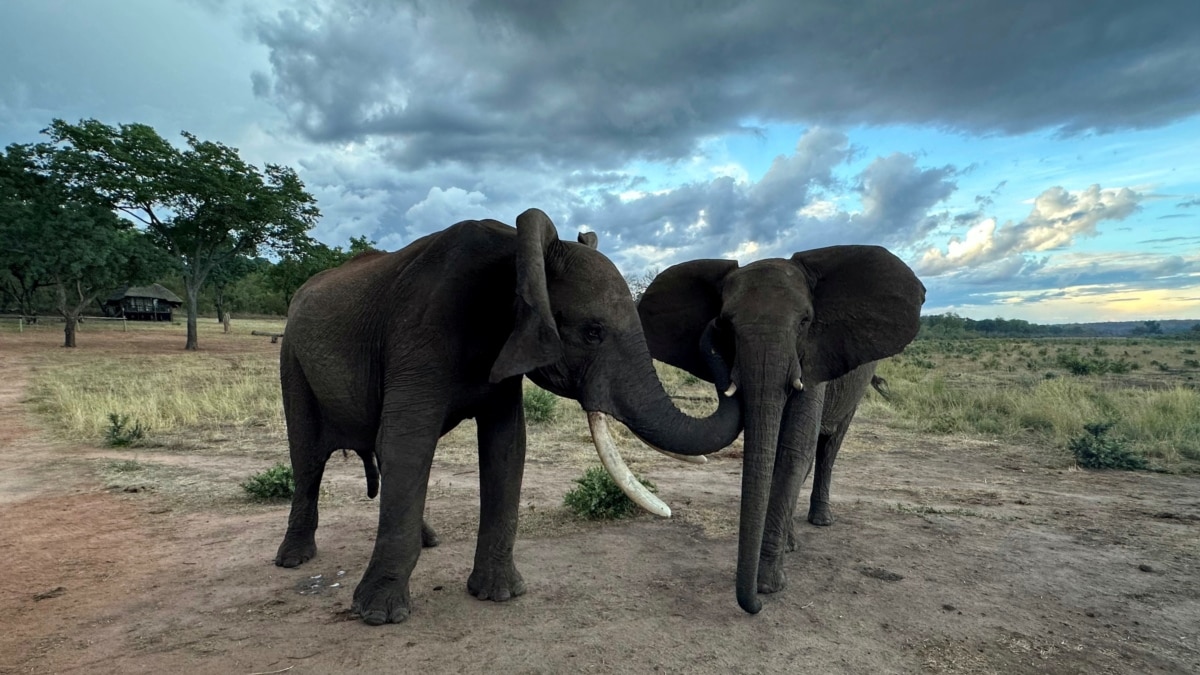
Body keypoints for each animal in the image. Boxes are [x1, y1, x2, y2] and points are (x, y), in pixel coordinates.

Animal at [274, 208, 742, 625]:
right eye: (592, 332)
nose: (718, 326)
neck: (515, 254)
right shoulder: (419, 336)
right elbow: (409, 444)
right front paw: (378, 616)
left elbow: (507, 445)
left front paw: (499, 594)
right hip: (292, 358)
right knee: (308, 457)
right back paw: (293, 559)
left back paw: (429, 540)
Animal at [638, 246, 924, 614]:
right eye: (726, 324)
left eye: (805, 322)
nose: (755, 605)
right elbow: (770, 453)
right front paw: (773, 570)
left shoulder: (814, 358)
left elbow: (792, 452)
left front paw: (767, 586)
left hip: (855, 387)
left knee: (829, 447)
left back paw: (821, 520)